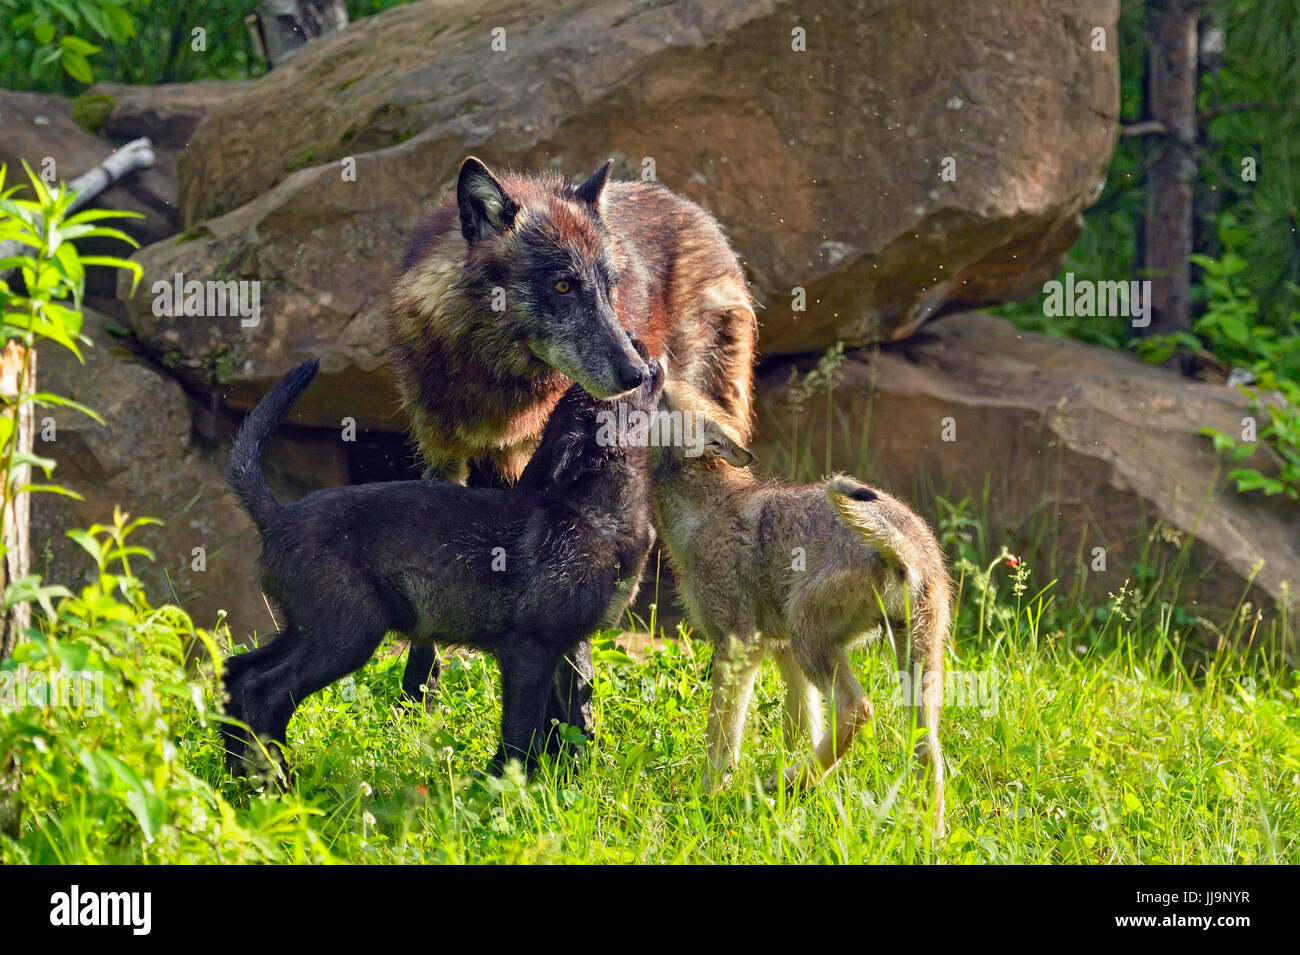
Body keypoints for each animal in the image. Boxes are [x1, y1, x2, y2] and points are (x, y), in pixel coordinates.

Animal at [387, 157, 758, 729]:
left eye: (610, 287)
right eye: (563, 286)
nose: (637, 371)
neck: (495, 380)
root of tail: (694, 210)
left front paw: (574, 717)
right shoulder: (442, 451)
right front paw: (419, 694)